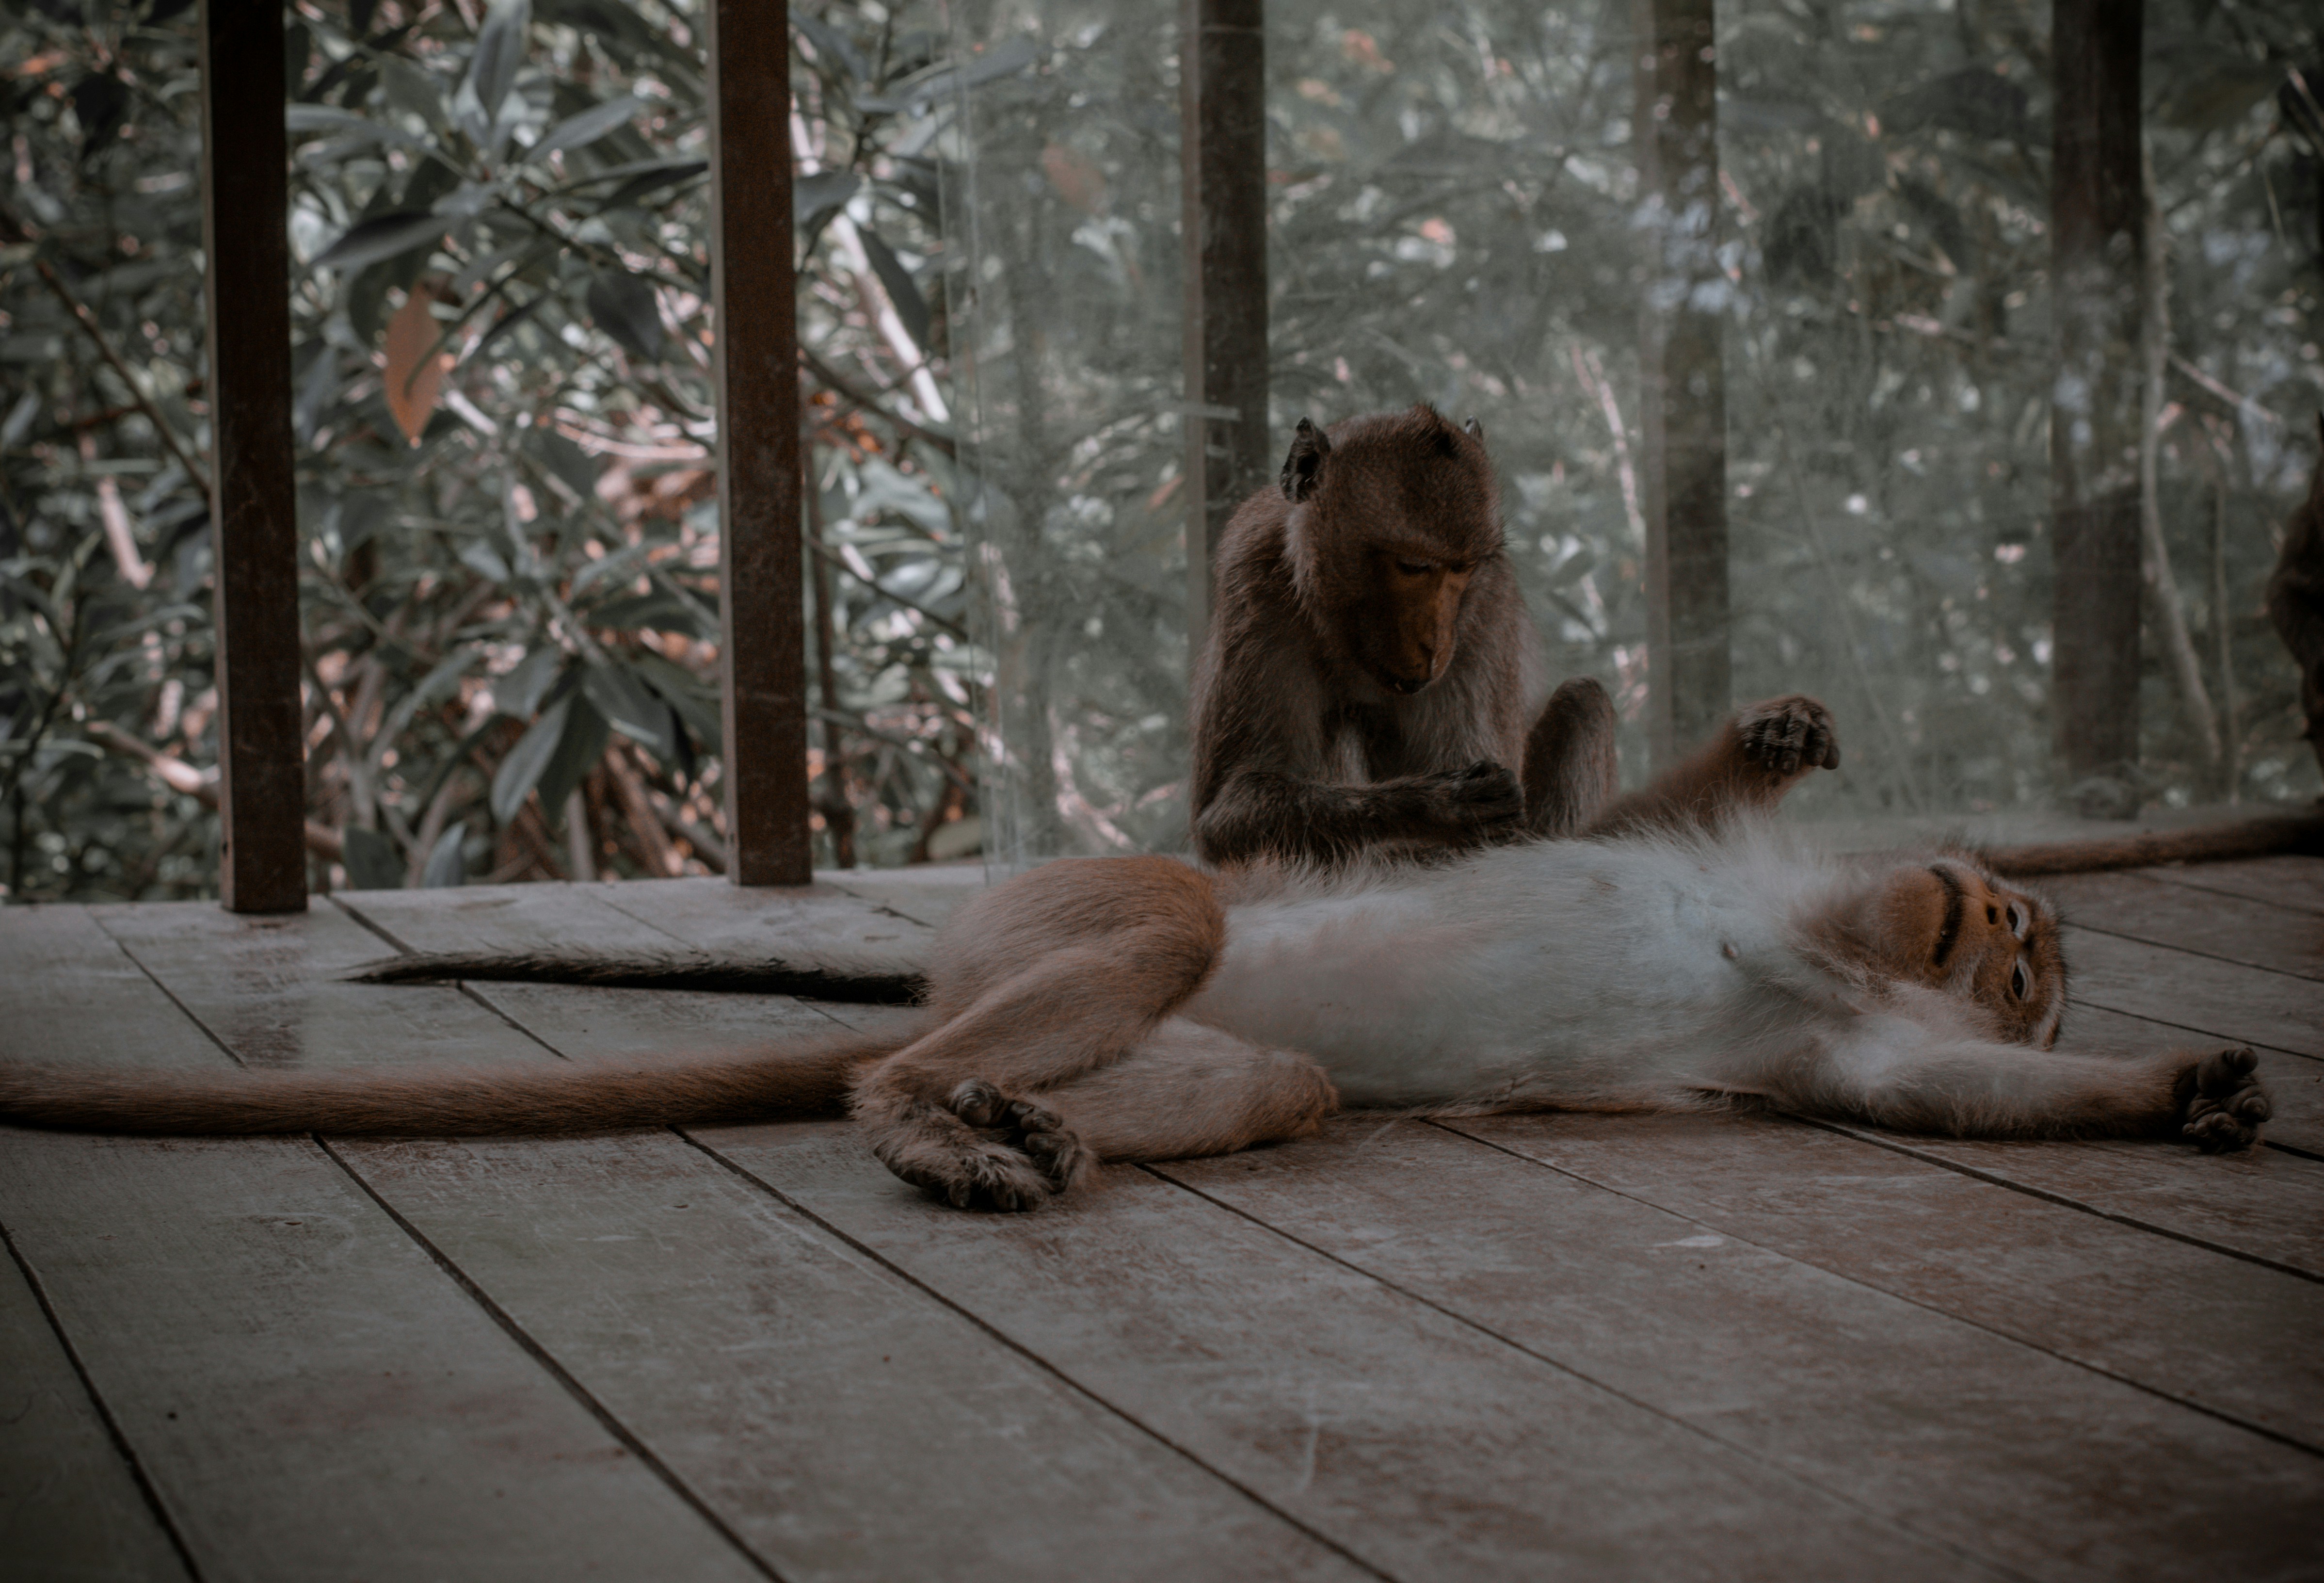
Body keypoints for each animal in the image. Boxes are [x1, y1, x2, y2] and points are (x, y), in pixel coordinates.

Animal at [1188, 404, 1621, 867]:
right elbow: (1228, 809)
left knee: (1584, 700)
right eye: (1413, 567)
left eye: (1463, 569)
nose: (1435, 647)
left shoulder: (1487, 605)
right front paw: (1435, 805)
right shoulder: (1252, 577)